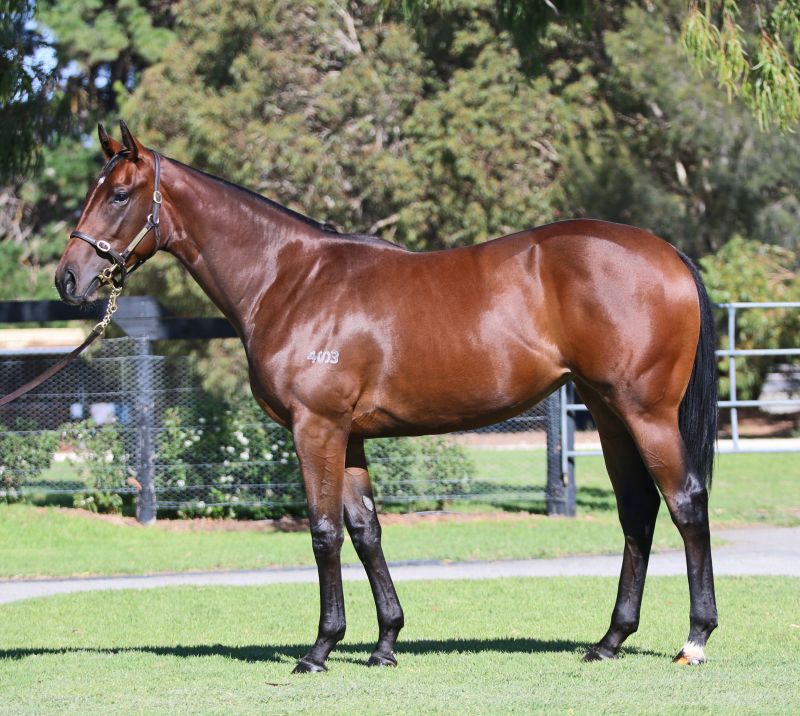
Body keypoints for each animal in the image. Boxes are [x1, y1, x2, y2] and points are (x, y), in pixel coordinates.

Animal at [55, 121, 718, 673]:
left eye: (119, 195)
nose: (69, 278)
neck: (290, 280)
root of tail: (667, 253)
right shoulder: (349, 436)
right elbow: (365, 530)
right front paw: (384, 644)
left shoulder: (315, 427)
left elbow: (323, 530)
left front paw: (319, 650)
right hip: (607, 414)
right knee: (638, 511)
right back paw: (609, 640)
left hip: (644, 413)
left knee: (685, 502)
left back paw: (694, 639)